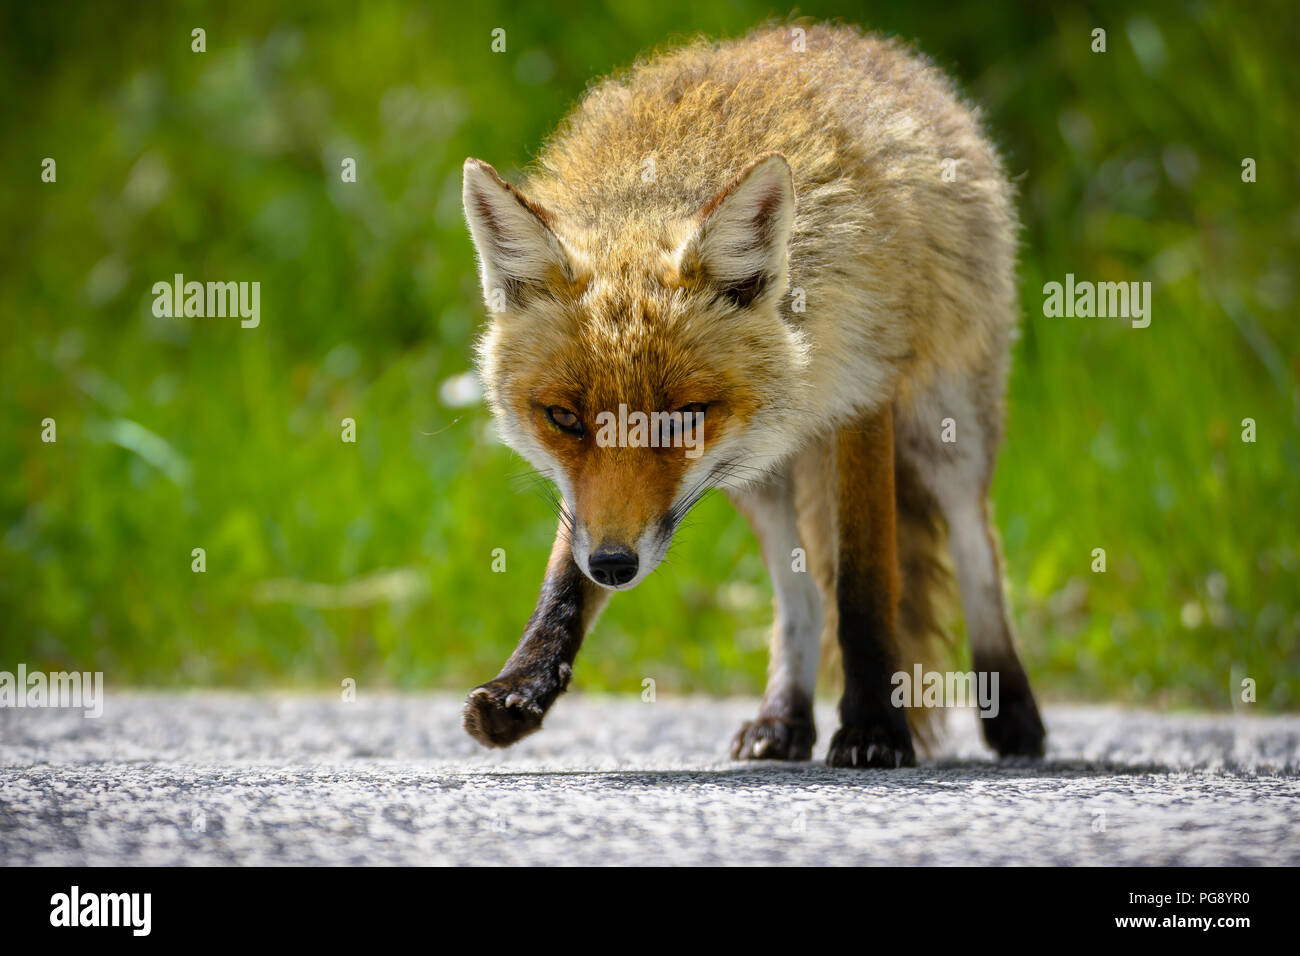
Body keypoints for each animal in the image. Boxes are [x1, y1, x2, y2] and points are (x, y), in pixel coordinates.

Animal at [459, 22, 1046, 767]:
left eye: (683, 418)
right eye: (563, 418)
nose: (616, 566)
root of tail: (859, 40)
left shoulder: (862, 399)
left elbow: (864, 586)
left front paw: (874, 727)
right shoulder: (595, 501)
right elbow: (565, 581)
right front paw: (521, 688)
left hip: (947, 430)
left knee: (979, 553)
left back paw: (1014, 713)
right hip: (754, 480)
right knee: (800, 597)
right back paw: (783, 716)